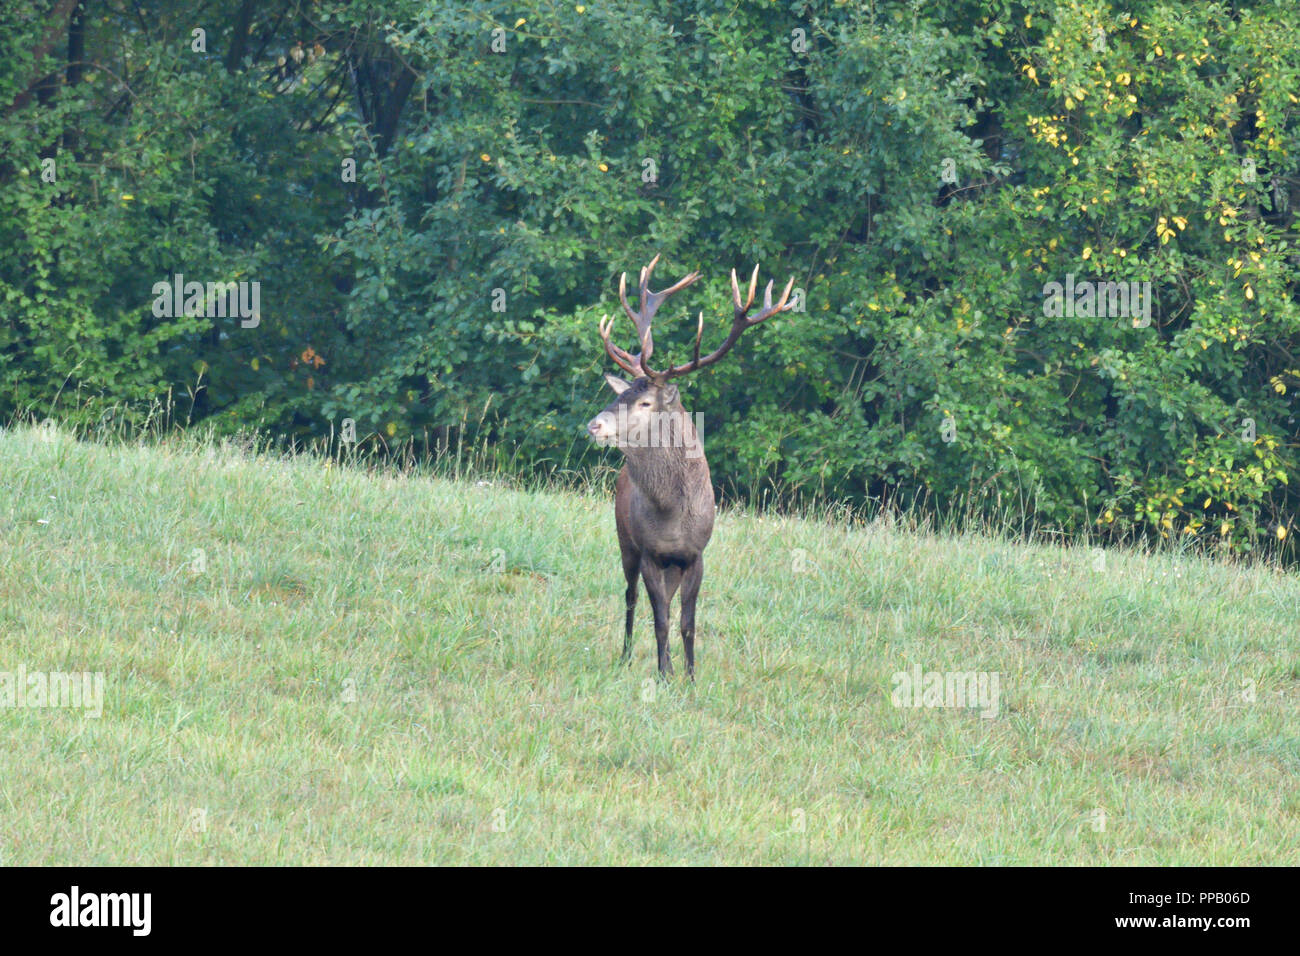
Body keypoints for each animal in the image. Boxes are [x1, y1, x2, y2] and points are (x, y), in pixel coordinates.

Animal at [587, 255, 794, 679]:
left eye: (645, 402)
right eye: (621, 395)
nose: (594, 425)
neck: (672, 514)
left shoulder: (696, 554)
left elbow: (687, 621)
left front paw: (691, 676)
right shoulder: (650, 553)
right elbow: (660, 619)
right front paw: (665, 674)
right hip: (625, 541)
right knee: (630, 597)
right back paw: (626, 656)